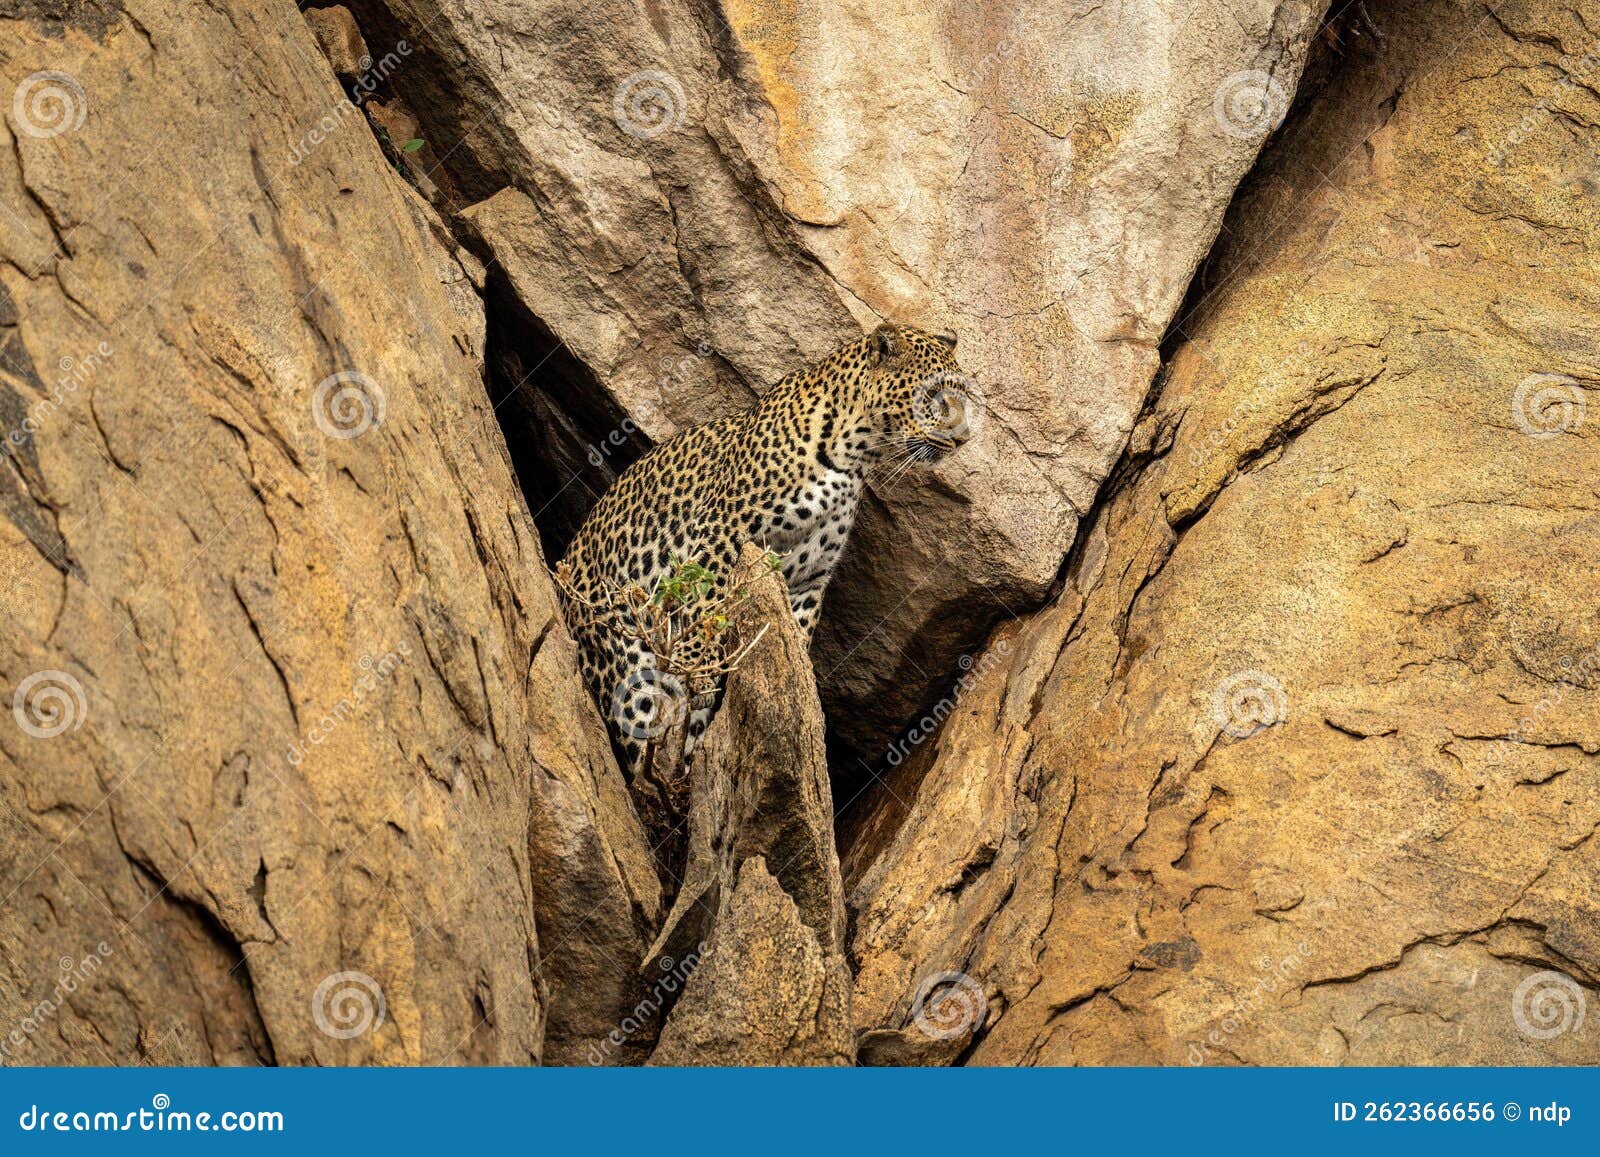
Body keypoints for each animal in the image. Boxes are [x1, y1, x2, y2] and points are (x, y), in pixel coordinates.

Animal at [556, 321, 977, 775]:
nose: (965, 438)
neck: (854, 454)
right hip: (622, 658)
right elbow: (703, 602)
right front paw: (696, 666)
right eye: (933, 396)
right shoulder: (724, 530)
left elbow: (795, 631)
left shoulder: (808, 575)